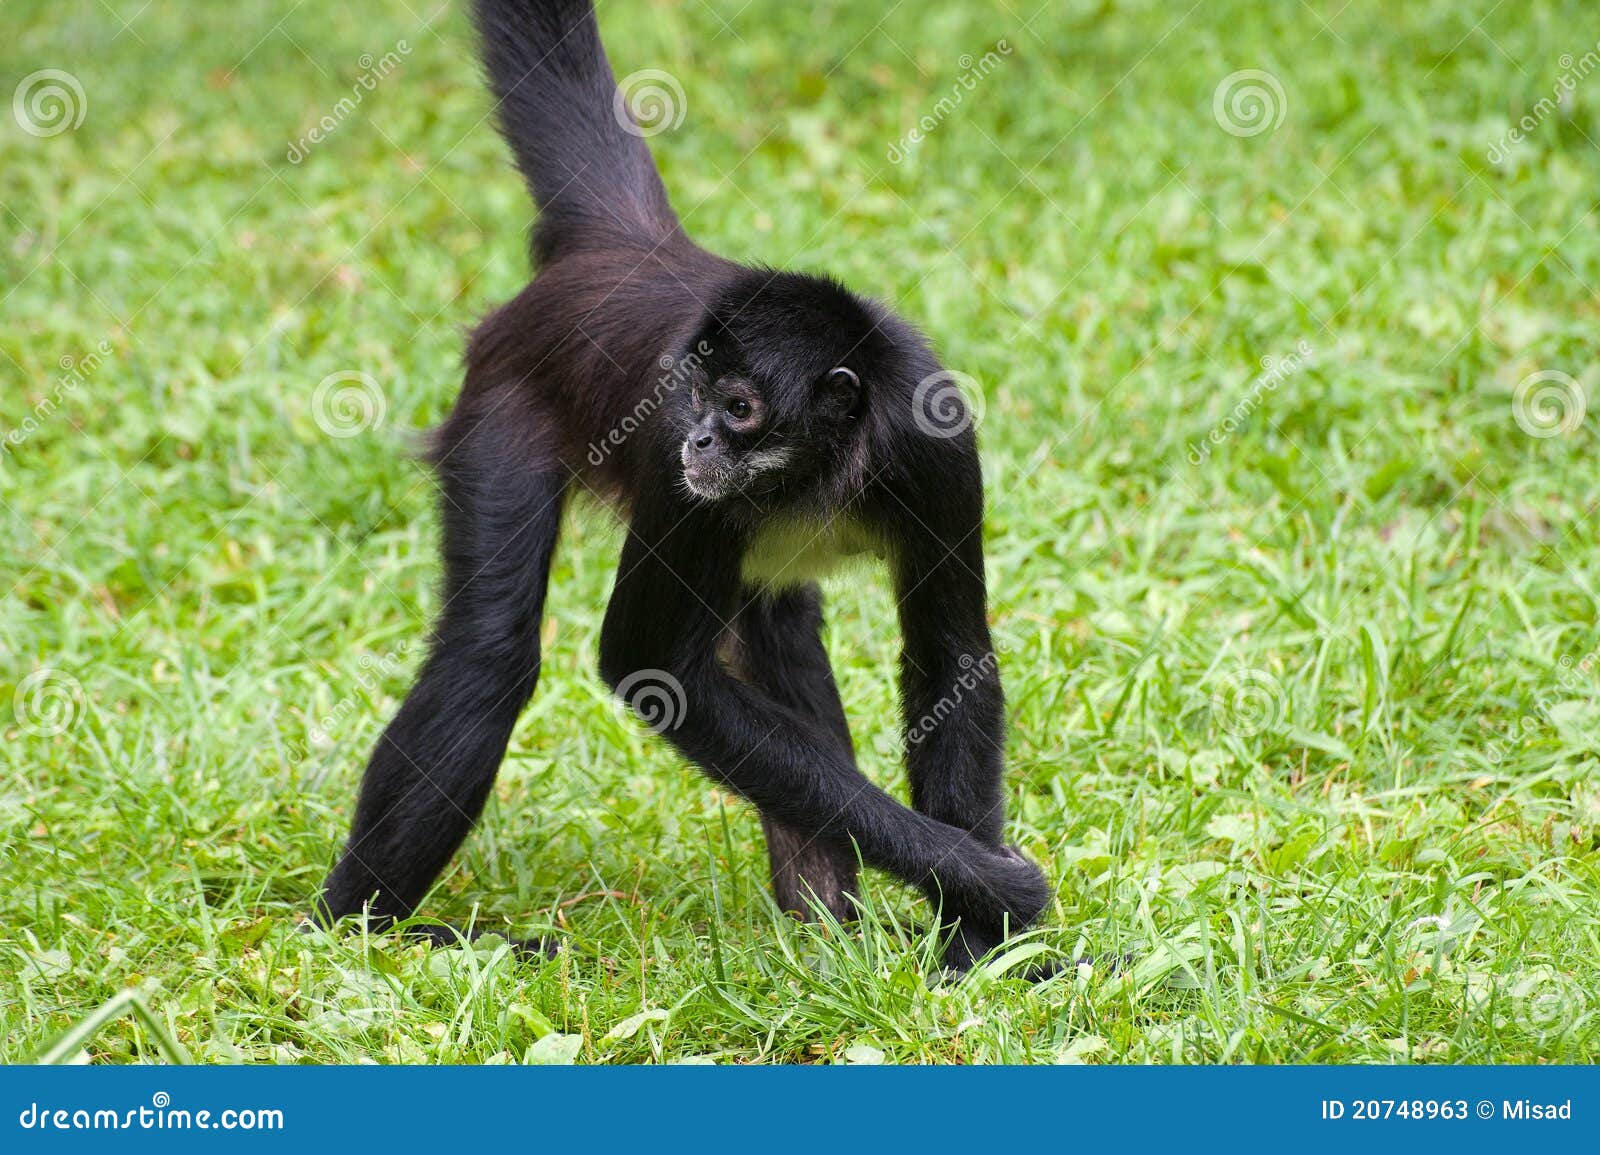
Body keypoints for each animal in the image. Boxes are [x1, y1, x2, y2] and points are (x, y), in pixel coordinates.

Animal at [316, 0, 1052, 975]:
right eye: (697, 395)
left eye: (739, 407)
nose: (701, 436)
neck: (823, 469)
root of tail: (633, 250)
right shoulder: (675, 467)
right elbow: (654, 669)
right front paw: (985, 887)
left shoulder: (935, 442)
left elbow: (950, 653)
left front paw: (979, 949)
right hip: (507, 399)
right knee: (488, 651)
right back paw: (355, 927)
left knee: (782, 635)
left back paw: (823, 931)